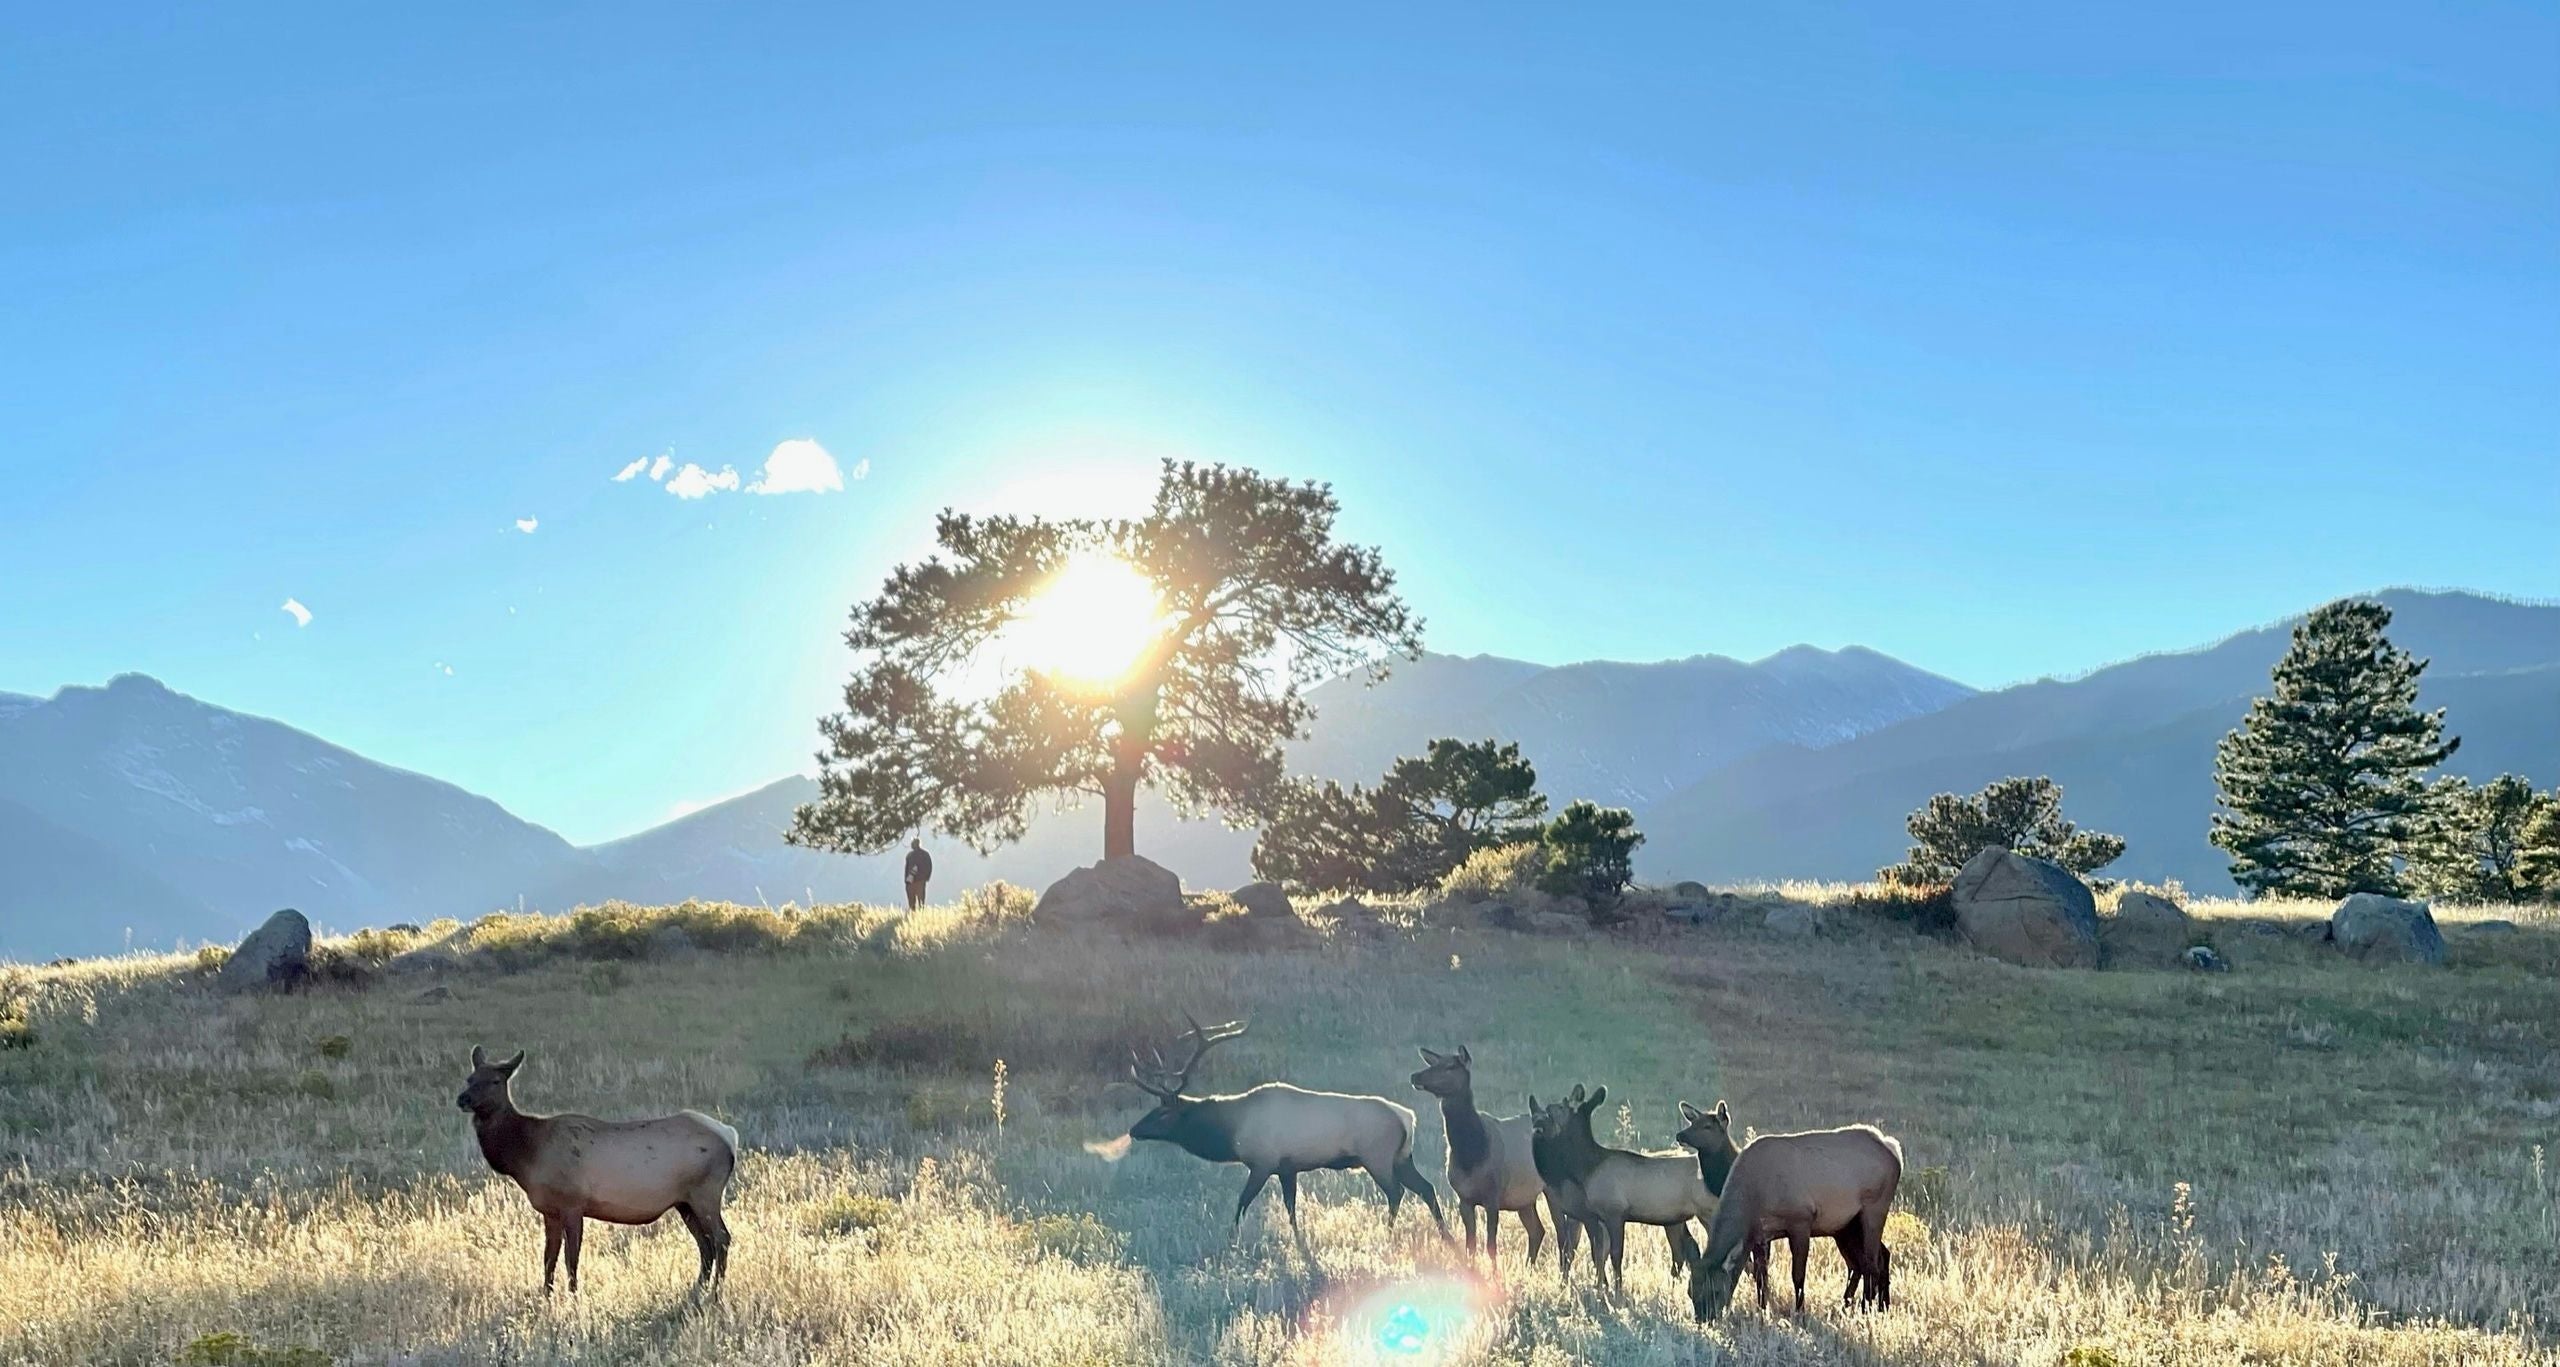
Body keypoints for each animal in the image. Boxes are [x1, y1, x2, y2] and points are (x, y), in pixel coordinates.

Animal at [455, 1046, 739, 1294]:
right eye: (469, 1078)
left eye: (495, 1081)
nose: (463, 1098)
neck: (526, 1155)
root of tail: (730, 1136)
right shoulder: (549, 1210)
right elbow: (548, 1258)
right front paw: (546, 1295)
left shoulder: (573, 1203)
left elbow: (571, 1259)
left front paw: (573, 1297)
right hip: (684, 1202)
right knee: (705, 1244)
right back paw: (699, 1287)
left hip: (706, 1192)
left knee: (721, 1238)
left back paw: (715, 1292)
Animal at [1124, 1016, 1447, 1250]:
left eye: (1163, 1113)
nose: (1133, 1129)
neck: (1232, 1130)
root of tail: (1407, 1118)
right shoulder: (1287, 1168)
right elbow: (1291, 1207)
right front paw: (1298, 1241)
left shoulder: (1262, 1163)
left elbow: (1242, 1202)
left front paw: (1231, 1241)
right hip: (1401, 1158)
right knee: (1426, 1188)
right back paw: (1445, 1235)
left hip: (1376, 1157)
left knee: (1397, 1191)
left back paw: (1388, 1234)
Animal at [1409, 1045, 1555, 1271]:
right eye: (1433, 1063)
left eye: (1450, 1066)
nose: (1415, 1076)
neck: (1471, 1155)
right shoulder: (1464, 1198)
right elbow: (1471, 1245)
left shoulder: (1492, 1196)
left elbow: (1491, 1246)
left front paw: (1495, 1276)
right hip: (1524, 1199)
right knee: (1537, 1230)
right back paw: (1528, 1268)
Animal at [1529, 1085, 1709, 1293]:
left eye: (1558, 1108)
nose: (1540, 1120)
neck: (1587, 1167)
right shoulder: (1596, 1216)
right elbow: (1598, 1253)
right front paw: (1601, 1288)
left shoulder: (1613, 1211)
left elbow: (1614, 1255)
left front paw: (1616, 1291)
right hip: (1675, 1219)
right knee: (1684, 1250)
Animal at [1685, 1110, 1903, 1320]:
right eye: (1690, 1292)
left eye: (1716, 1291)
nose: (1703, 1319)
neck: (1753, 1199)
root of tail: (1894, 1150)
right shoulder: (1760, 1235)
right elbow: (1761, 1276)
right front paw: (1763, 1310)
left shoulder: (1801, 1220)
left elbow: (1798, 1275)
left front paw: (1799, 1313)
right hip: (1847, 1225)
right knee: (1867, 1261)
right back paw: (1870, 1306)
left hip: (1875, 1207)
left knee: (1871, 1263)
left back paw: (1866, 1309)